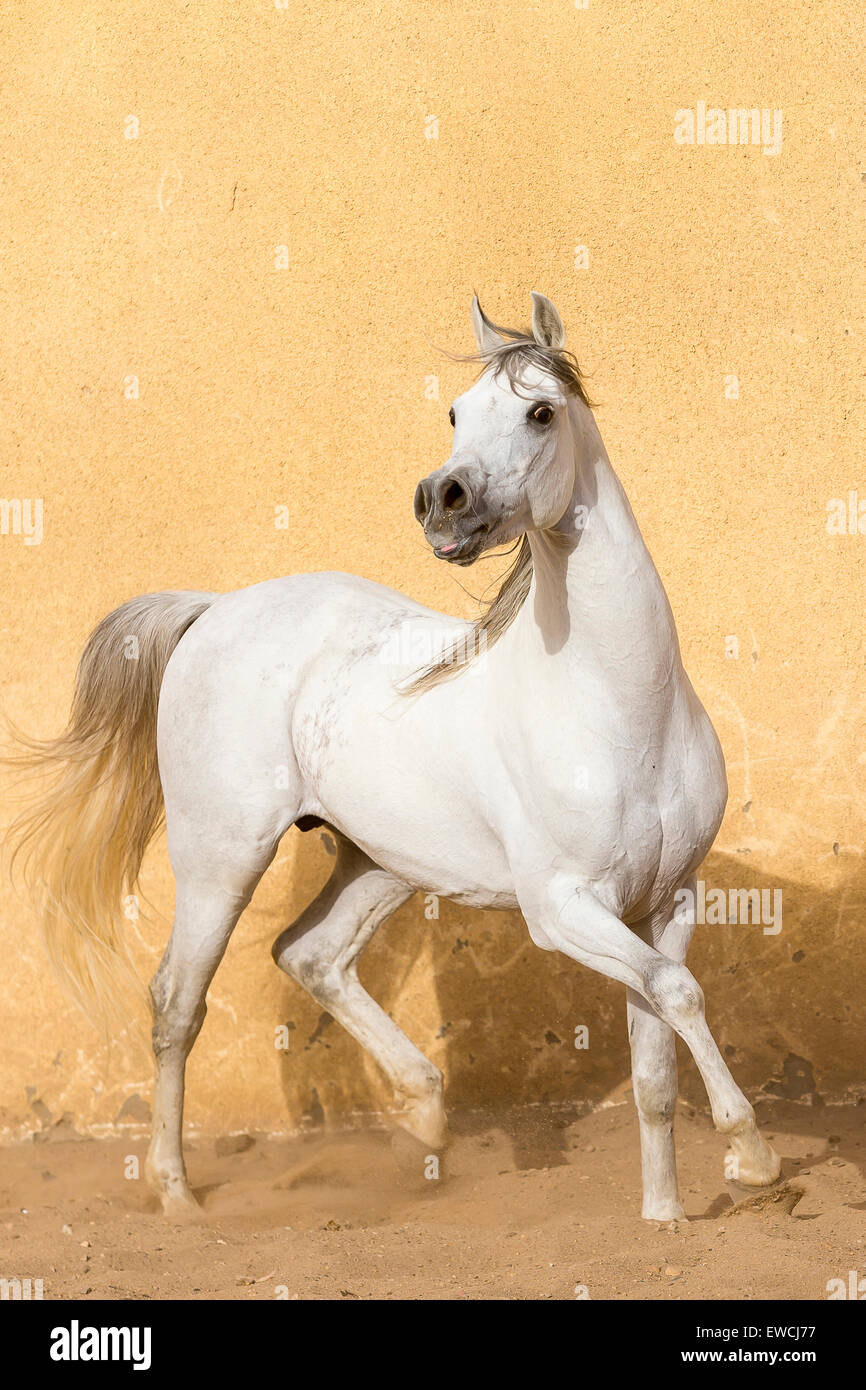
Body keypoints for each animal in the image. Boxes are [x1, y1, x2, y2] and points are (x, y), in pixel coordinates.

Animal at [7, 292, 780, 1222]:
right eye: (454, 412)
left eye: (541, 412)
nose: (441, 500)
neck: (624, 710)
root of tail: (216, 609)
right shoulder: (564, 910)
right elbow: (679, 994)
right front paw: (751, 1159)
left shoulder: (663, 903)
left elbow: (656, 1064)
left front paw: (664, 1216)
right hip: (220, 859)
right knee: (176, 1003)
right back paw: (177, 1193)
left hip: (377, 863)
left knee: (308, 955)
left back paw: (424, 1121)